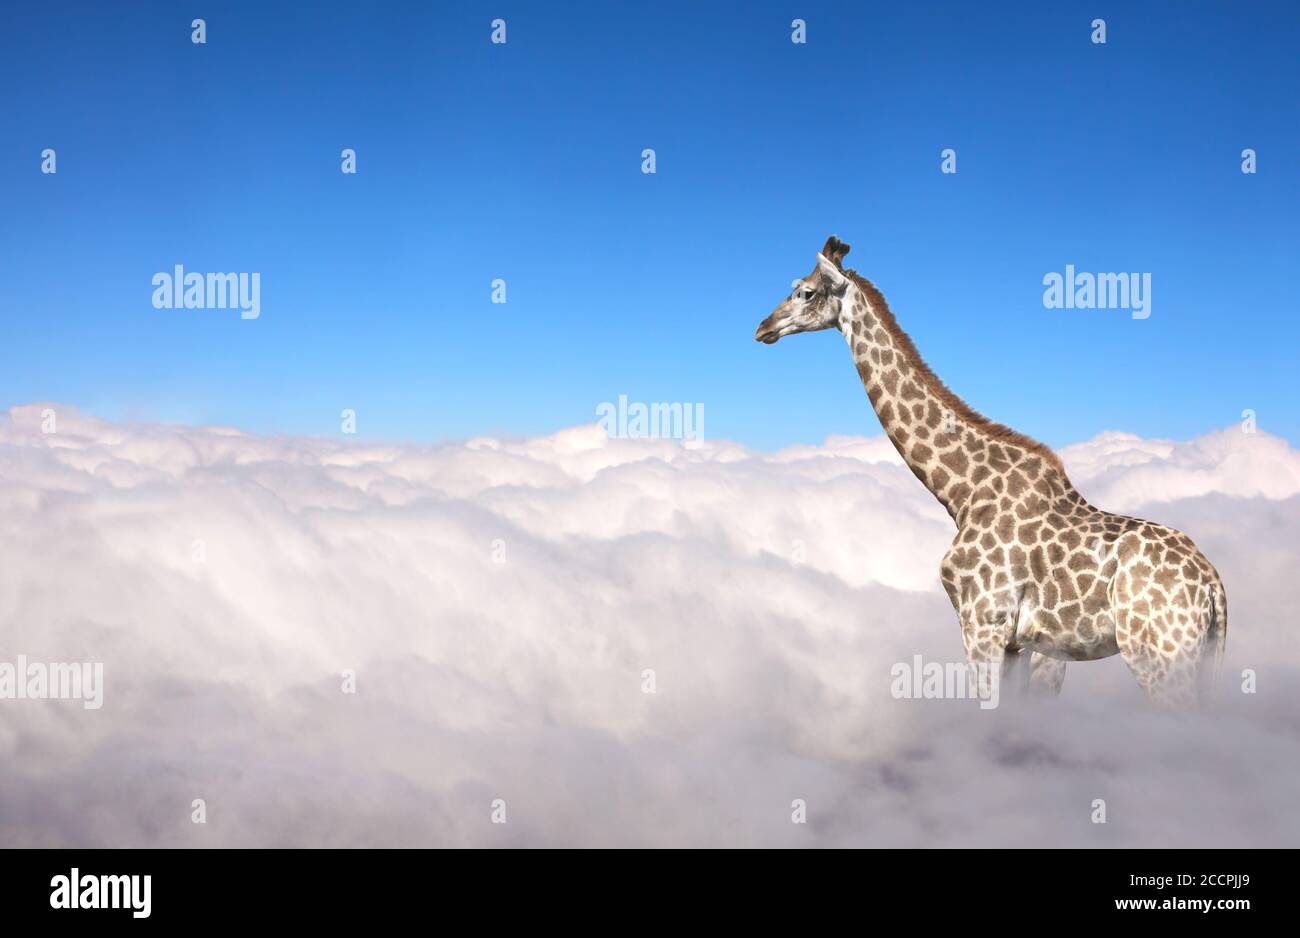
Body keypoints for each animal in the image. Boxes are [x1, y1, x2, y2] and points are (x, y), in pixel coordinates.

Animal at [755, 236, 1227, 707]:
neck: (960, 491)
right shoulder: (1018, 644)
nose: (763, 327)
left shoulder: (983, 624)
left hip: (1159, 652)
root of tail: (1213, 586)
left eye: (805, 292)